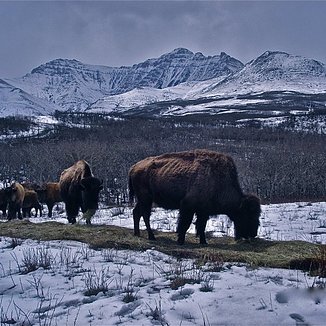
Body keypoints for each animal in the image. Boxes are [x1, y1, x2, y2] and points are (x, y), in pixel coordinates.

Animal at [129, 150, 262, 244]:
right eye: (248, 213)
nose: (254, 233)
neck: (218, 181)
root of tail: (134, 167)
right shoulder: (188, 207)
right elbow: (185, 224)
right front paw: (180, 241)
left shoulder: (203, 211)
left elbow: (201, 226)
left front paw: (203, 242)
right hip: (146, 199)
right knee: (145, 215)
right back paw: (151, 237)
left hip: (143, 199)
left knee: (136, 212)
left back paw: (137, 233)